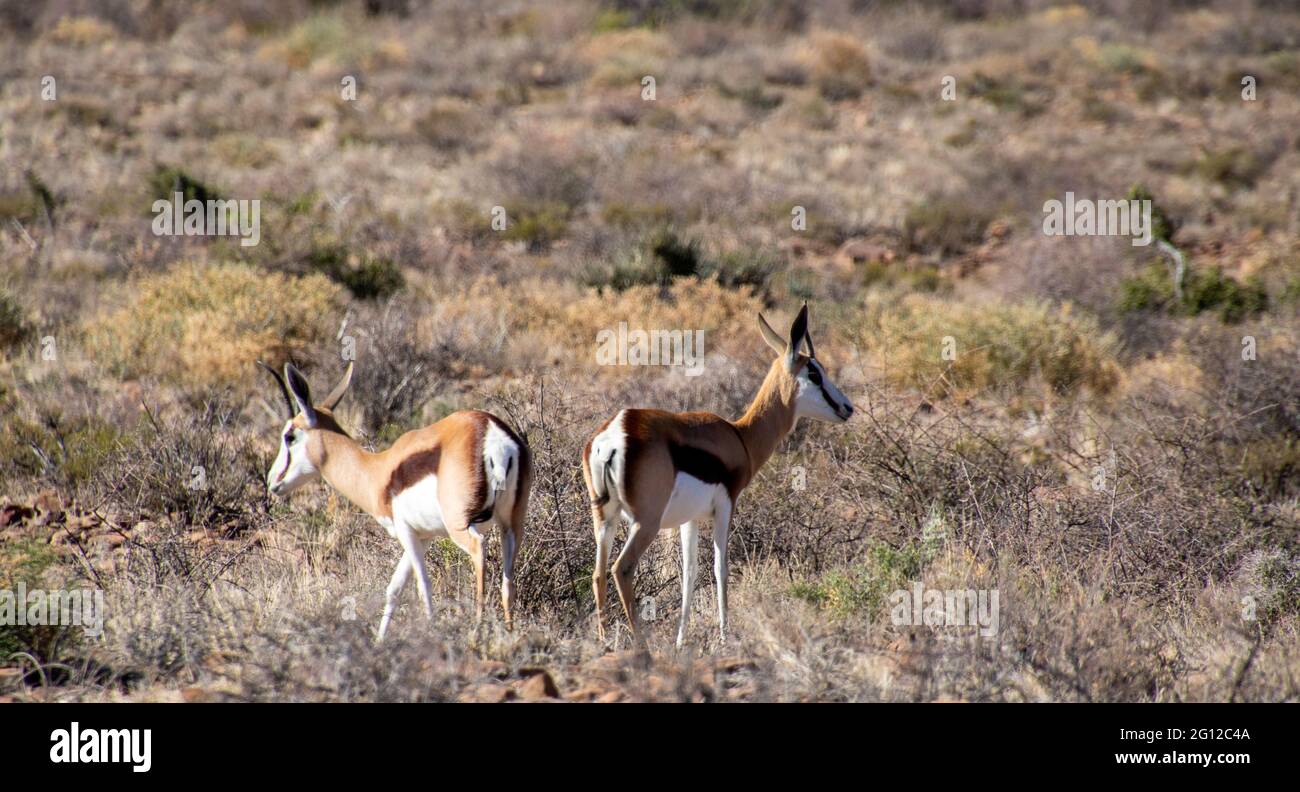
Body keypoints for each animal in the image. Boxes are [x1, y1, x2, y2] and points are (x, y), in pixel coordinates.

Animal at [258, 361, 531, 640]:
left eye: (289, 436)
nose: (272, 481)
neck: (379, 471)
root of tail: (492, 433)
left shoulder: (405, 530)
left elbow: (423, 586)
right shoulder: (424, 536)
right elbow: (394, 588)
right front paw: (380, 641)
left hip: (461, 527)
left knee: (479, 551)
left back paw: (476, 634)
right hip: (511, 526)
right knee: (508, 582)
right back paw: (510, 635)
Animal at [582, 304, 854, 648]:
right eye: (815, 372)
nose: (847, 407)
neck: (740, 437)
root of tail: (616, 432)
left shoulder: (690, 519)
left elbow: (688, 574)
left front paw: (681, 641)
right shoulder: (725, 506)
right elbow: (719, 568)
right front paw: (725, 636)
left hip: (604, 518)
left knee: (598, 573)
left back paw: (604, 641)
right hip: (646, 523)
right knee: (622, 569)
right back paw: (641, 642)